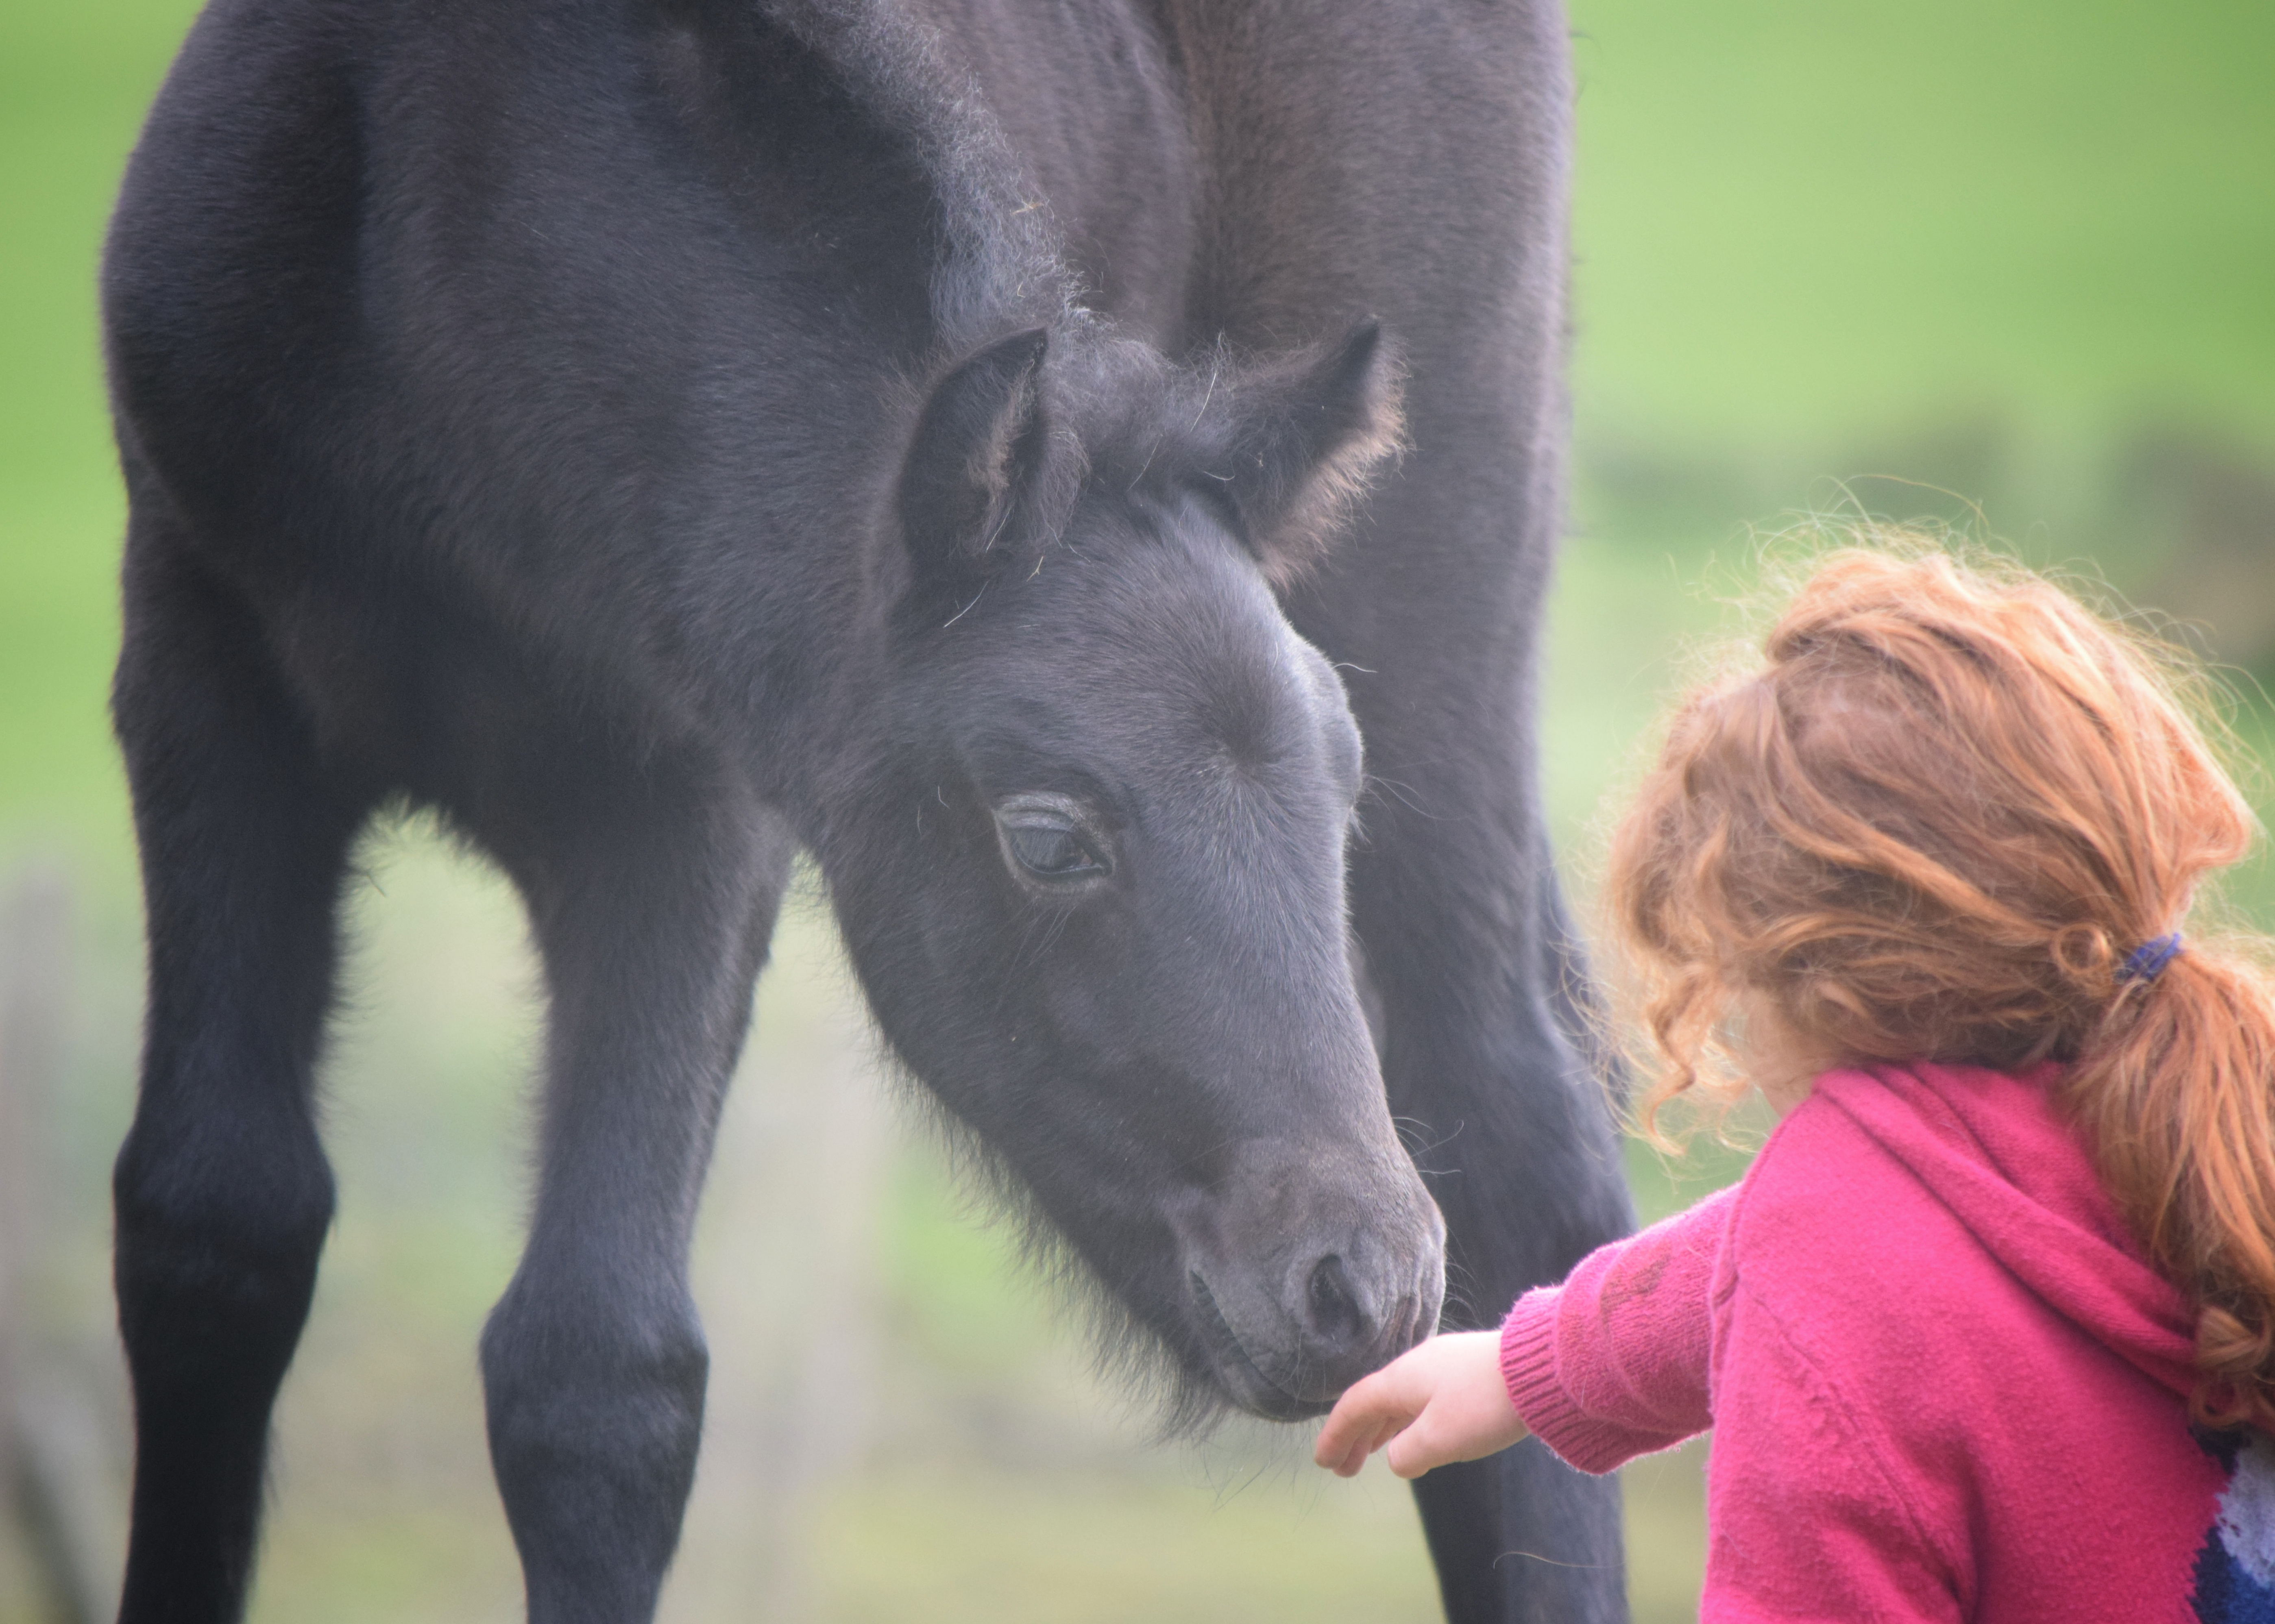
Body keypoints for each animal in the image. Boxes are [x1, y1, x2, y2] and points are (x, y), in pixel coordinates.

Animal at [99, 1, 1634, 1619]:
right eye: (1046, 835)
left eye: (1341, 783)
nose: (1360, 1285)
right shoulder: (204, 675)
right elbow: (214, 1235)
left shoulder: (691, 792)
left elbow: (598, 1368)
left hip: (1448, 573)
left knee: (1520, 1140)